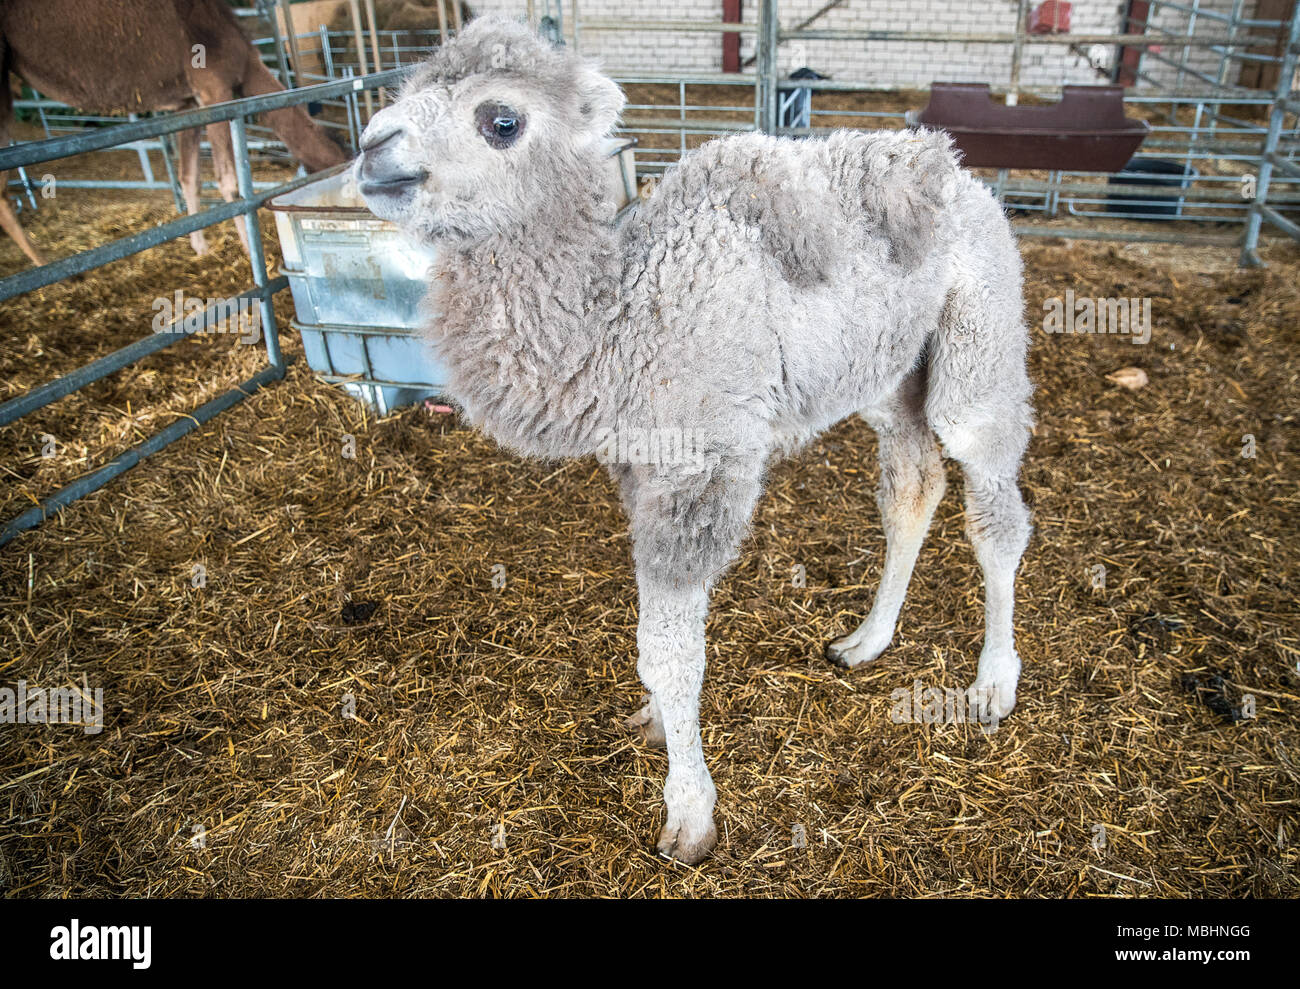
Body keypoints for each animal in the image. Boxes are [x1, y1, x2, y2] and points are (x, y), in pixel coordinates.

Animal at [1, 0, 349, 266]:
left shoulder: (186, 105)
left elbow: (189, 177)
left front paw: (201, 247)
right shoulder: (213, 90)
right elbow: (228, 181)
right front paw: (252, 254)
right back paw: (44, 264)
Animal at [358, 18, 1034, 864]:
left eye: (501, 119)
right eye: (403, 93)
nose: (372, 148)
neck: (620, 315)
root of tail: (965, 178)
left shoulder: (698, 473)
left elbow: (672, 650)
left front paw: (688, 812)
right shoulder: (638, 465)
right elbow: (656, 638)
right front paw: (654, 721)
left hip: (979, 333)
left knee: (994, 505)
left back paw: (993, 683)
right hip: (887, 376)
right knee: (913, 485)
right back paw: (864, 640)